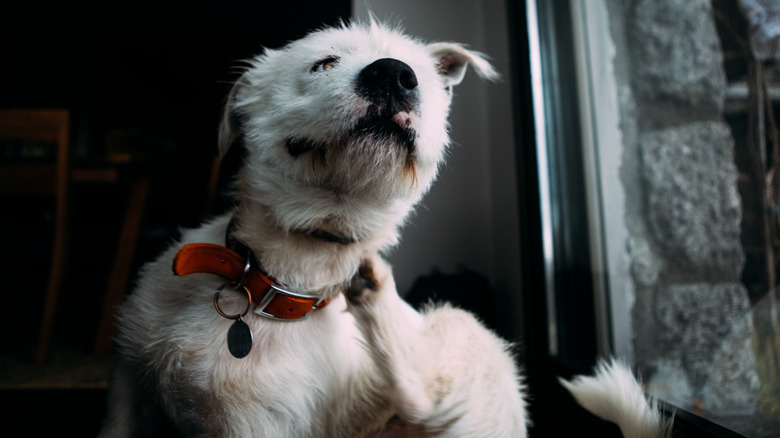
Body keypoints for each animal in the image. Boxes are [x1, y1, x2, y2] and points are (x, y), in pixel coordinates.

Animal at [97, 18, 672, 436]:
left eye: (413, 71)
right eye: (324, 62)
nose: (394, 75)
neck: (275, 282)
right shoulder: (127, 386)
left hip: (464, 334)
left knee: (423, 395)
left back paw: (379, 301)